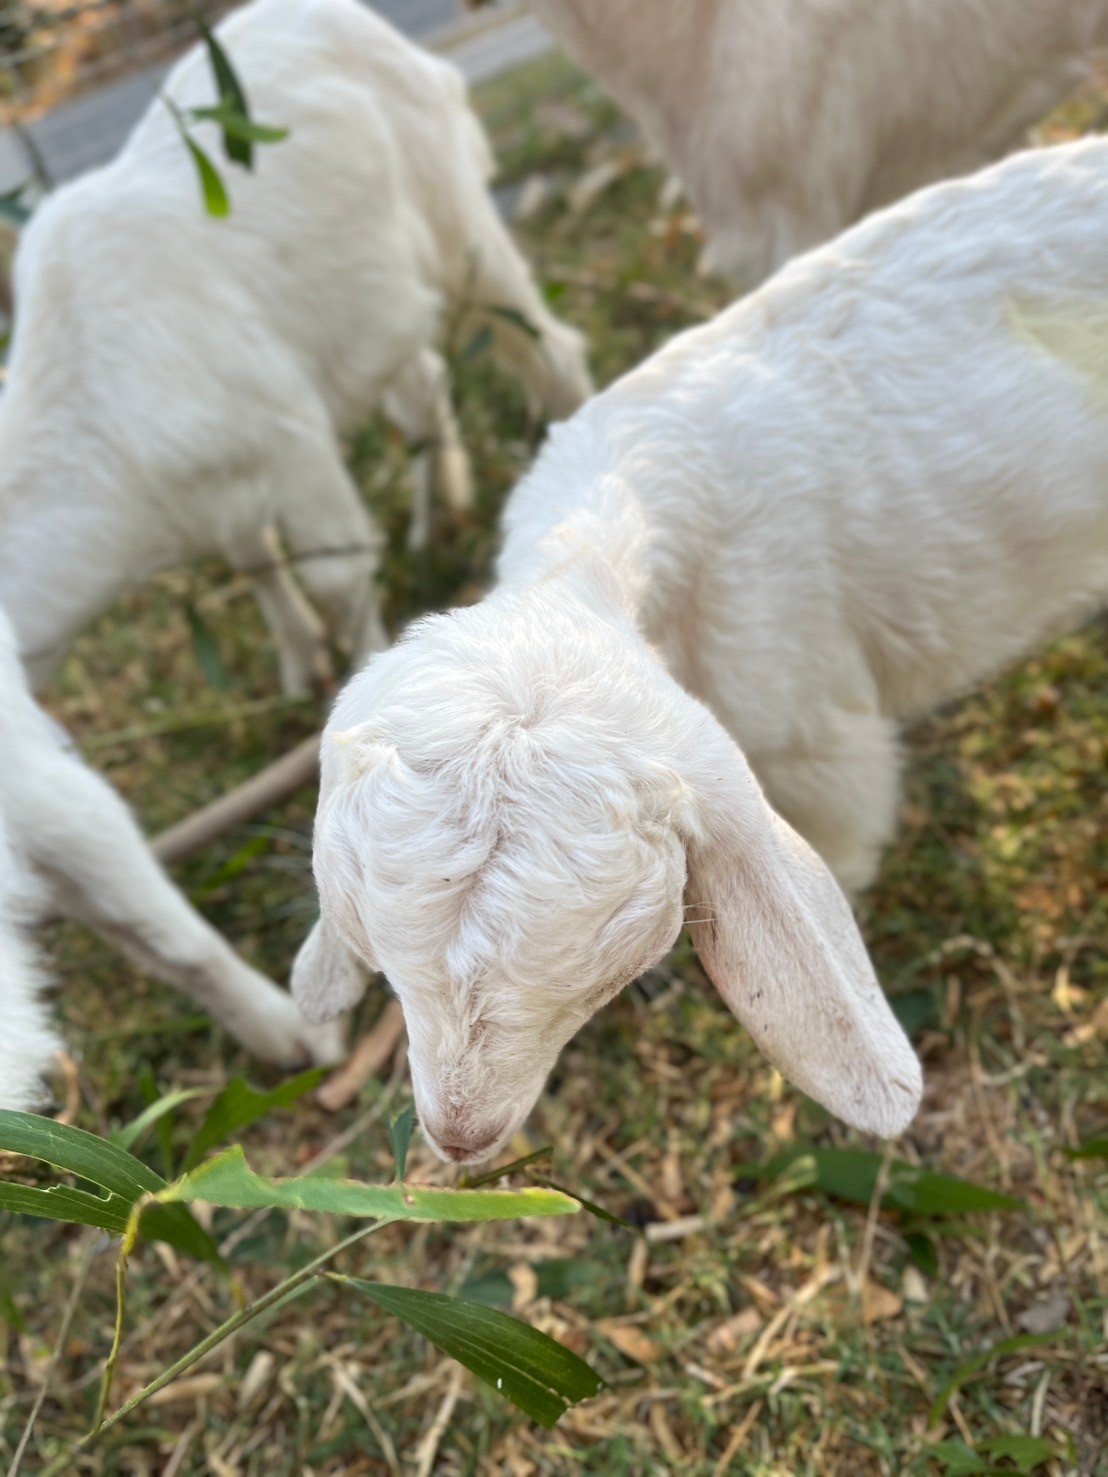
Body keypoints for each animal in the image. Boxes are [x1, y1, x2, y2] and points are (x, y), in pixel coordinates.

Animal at [0, 0, 590, 697]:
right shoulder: (216, 487)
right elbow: (255, 562)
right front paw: (301, 663)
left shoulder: (289, 441)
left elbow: (337, 574)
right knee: (422, 385)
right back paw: (434, 521)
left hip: (457, 224)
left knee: (547, 345)